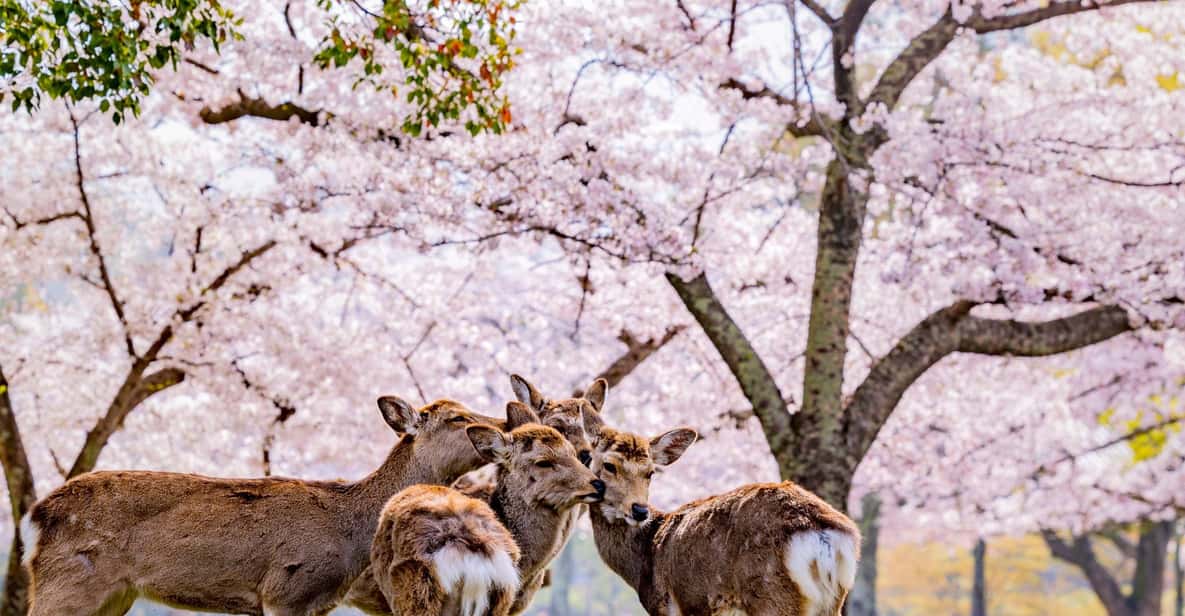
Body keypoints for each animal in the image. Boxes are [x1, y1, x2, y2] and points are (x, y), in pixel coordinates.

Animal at [21, 396, 521, 616]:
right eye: (456, 416)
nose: (504, 422)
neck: (349, 531)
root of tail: (36, 517)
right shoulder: (286, 590)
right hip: (68, 583)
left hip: (114, 595)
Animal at [580, 409, 861, 616]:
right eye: (609, 465)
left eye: (650, 472)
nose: (639, 510)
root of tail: (825, 536)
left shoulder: (668, 607)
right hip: (833, 601)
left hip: (772, 594)